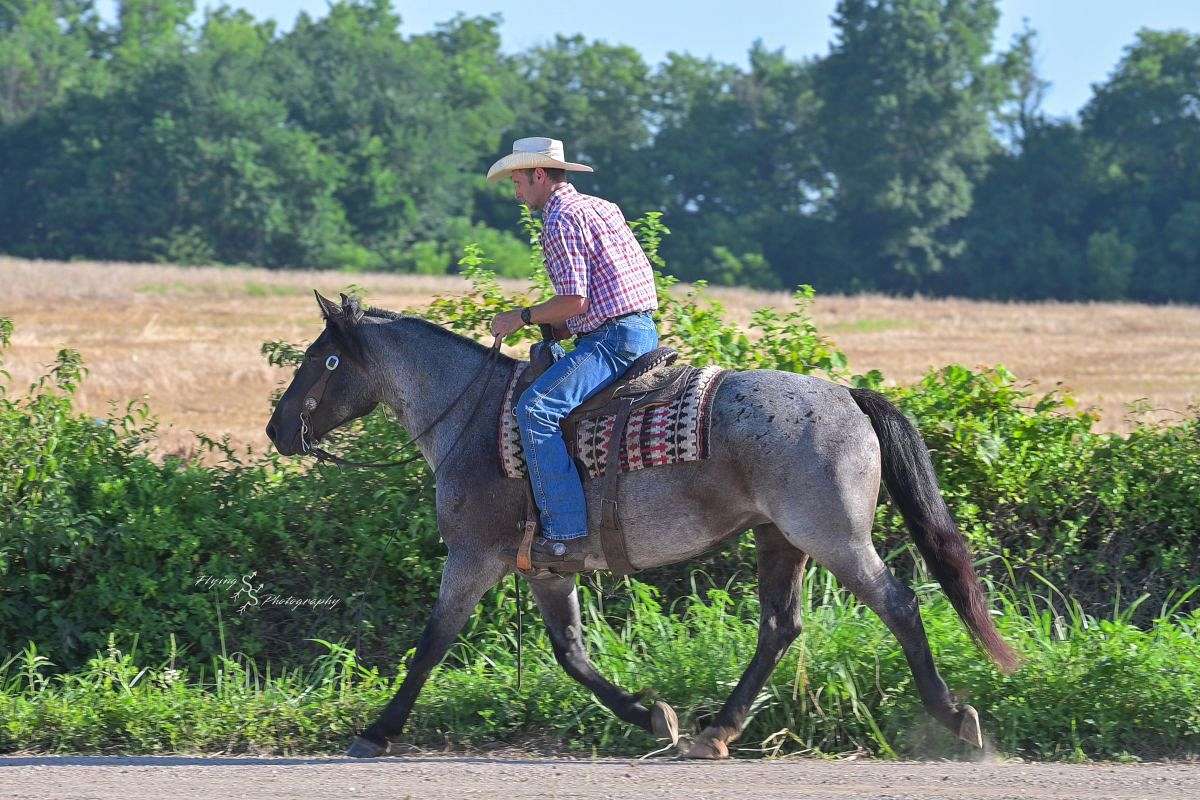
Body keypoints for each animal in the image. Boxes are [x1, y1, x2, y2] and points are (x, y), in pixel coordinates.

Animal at [264, 291, 1019, 760]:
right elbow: (571, 654)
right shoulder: (545, 568)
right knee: (780, 627)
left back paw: (956, 719)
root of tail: (848, 396)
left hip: (833, 538)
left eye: (322, 360)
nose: (276, 429)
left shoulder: (473, 558)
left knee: (897, 604)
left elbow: (430, 644)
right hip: (781, 539)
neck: (470, 419)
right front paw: (653, 715)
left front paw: (377, 730)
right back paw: (716, 731)